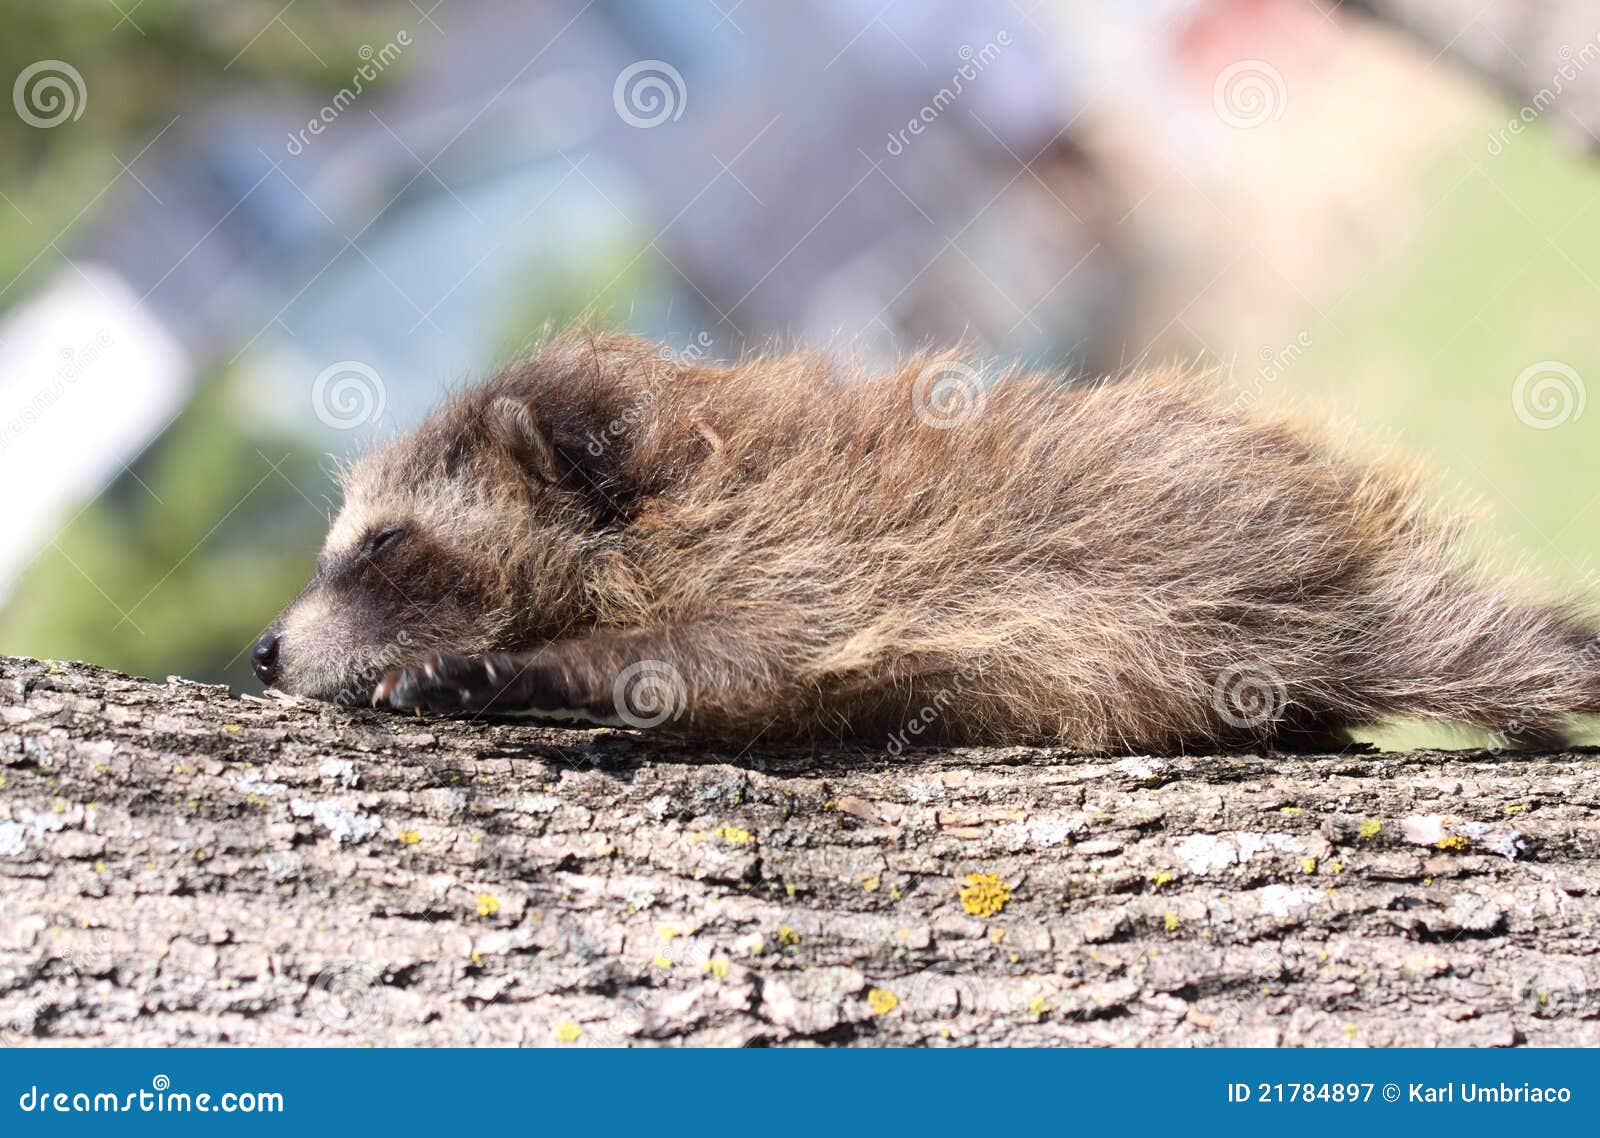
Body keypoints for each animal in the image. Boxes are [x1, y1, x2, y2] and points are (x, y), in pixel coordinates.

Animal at [253, 330, 1600, 752]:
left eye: (379, 546)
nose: (262, 651)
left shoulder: (819, 554)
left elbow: (727, 657)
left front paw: (527, 668)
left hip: (1237, 575)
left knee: (1498, 648)